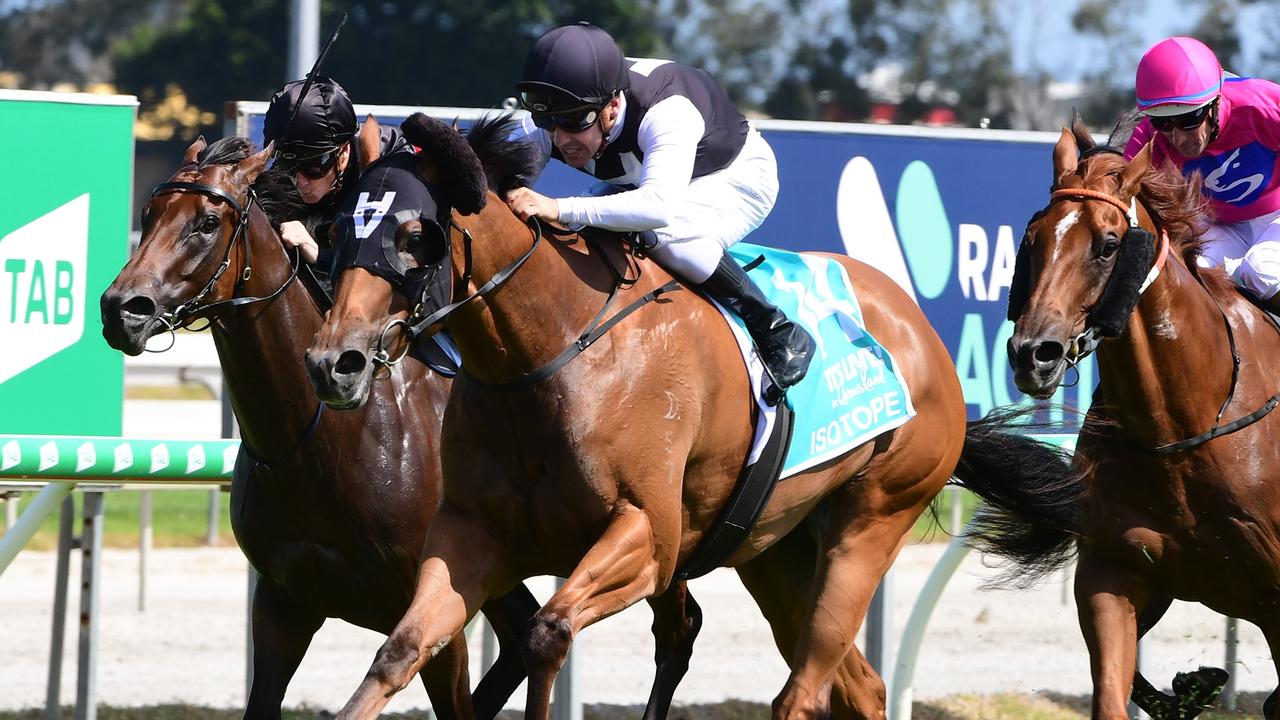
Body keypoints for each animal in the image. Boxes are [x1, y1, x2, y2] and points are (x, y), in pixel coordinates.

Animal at [99, 136, 546, 719]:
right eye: (148, 215)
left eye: (207, 222)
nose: (121, 309)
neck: (326, 442)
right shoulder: (282, 605)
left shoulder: (438, 607)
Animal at [303, 112, 1079, 720]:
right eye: (342, 225)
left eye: (414, 234)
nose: (333, 360)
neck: (550, 347)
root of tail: (925, 340)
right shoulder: (470, 534)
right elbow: (400, 649)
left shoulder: (647, 537)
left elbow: (547, 635)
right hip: (776, 550)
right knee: (860, 688)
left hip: (874, 519)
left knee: (804, 690)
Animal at [996, 118, 1280, 719]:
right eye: (1031, 241)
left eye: (1108, 246)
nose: (1034, 354)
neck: (1182, 430)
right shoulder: (1111, 574)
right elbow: (1111, 691)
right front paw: (1192, 686)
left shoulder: (1275, 599)